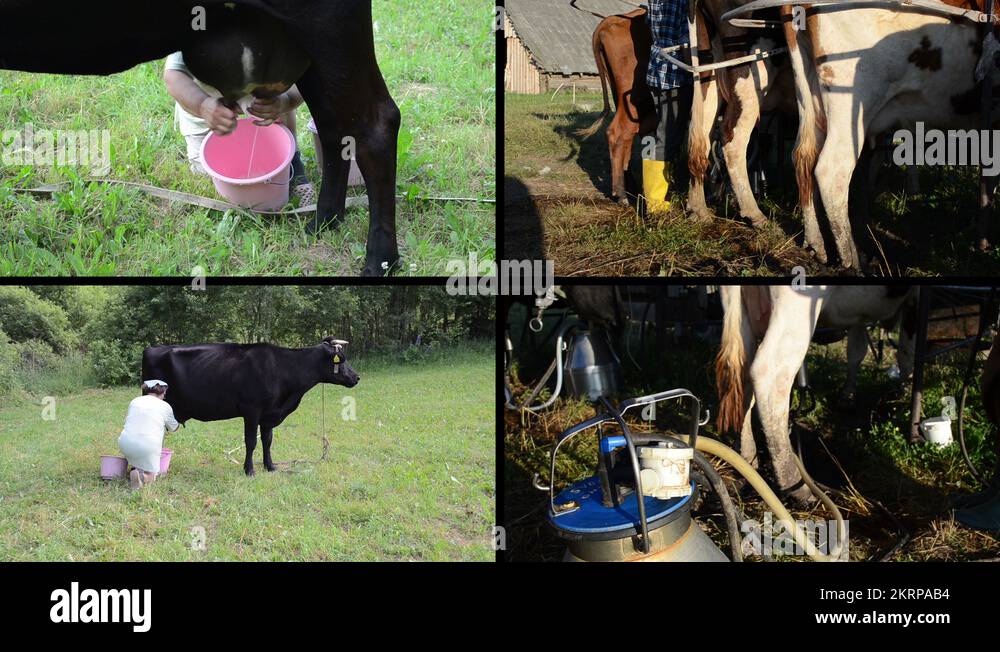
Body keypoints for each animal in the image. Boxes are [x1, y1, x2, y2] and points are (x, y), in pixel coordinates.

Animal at [141, 336, 358, 476]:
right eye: (342, 360)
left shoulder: (269, 413)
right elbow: (251, 441)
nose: (356, 377)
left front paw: (270, 466)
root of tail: (151, 348)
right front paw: (250, 470)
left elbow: (267, 440)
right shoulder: (252, 410)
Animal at [715, 285, 917, 502]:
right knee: (769, 376)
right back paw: (796, 486)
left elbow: (857, 349)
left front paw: (848, 396)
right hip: (796, 308)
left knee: (741, 370)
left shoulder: (861, 317)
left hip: (740, 311)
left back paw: (746, 457)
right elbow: (907, 353)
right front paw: (903, 394)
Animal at [776, 0, 999, 269]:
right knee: (832, 171)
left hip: (812, 98)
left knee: (803, 156)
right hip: (852, 97)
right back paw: (853, 261)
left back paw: (816, 245)